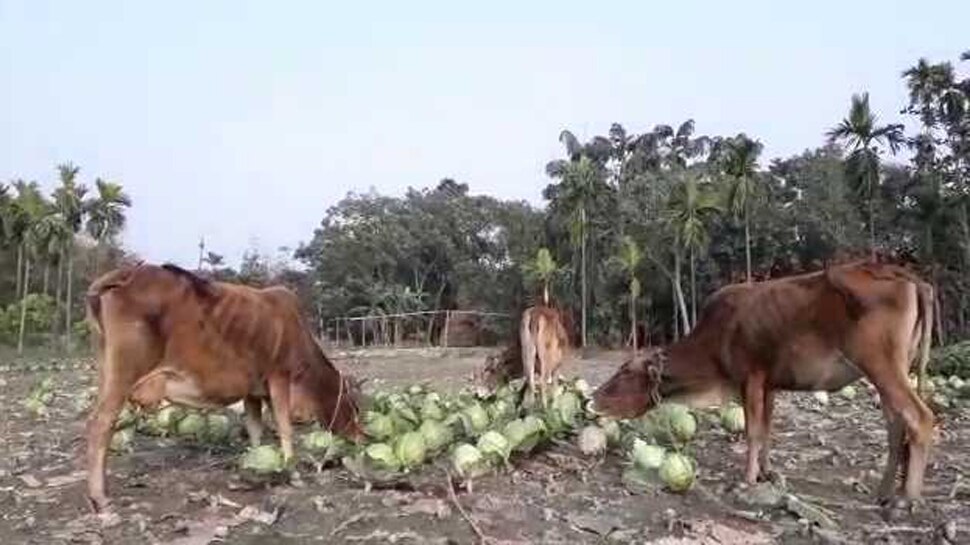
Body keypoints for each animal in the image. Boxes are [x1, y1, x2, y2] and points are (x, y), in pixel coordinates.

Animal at [84, 263, 365, 512]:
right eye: (356, 407)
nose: (362, 438)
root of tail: (126, 273)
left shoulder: (254, 391)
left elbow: (255, 431)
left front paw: (255, 466)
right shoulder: (279, 378)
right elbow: (285, 428)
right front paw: (293, 474)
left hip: (106, 370)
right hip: (124, 373)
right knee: (101, 424)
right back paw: (100, 498)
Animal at [592, 261, 935, 503]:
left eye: (625, 371)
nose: (593, 397)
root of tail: (905, 274)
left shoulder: (751, 379)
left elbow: (753, 432)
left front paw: (748, 478)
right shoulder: (769, 385)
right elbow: (767, 430)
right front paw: (767, 472)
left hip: (882, 366)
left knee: (920, 418)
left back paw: (906, 499)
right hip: (890, 371)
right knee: (896, 426)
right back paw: (885, 491)